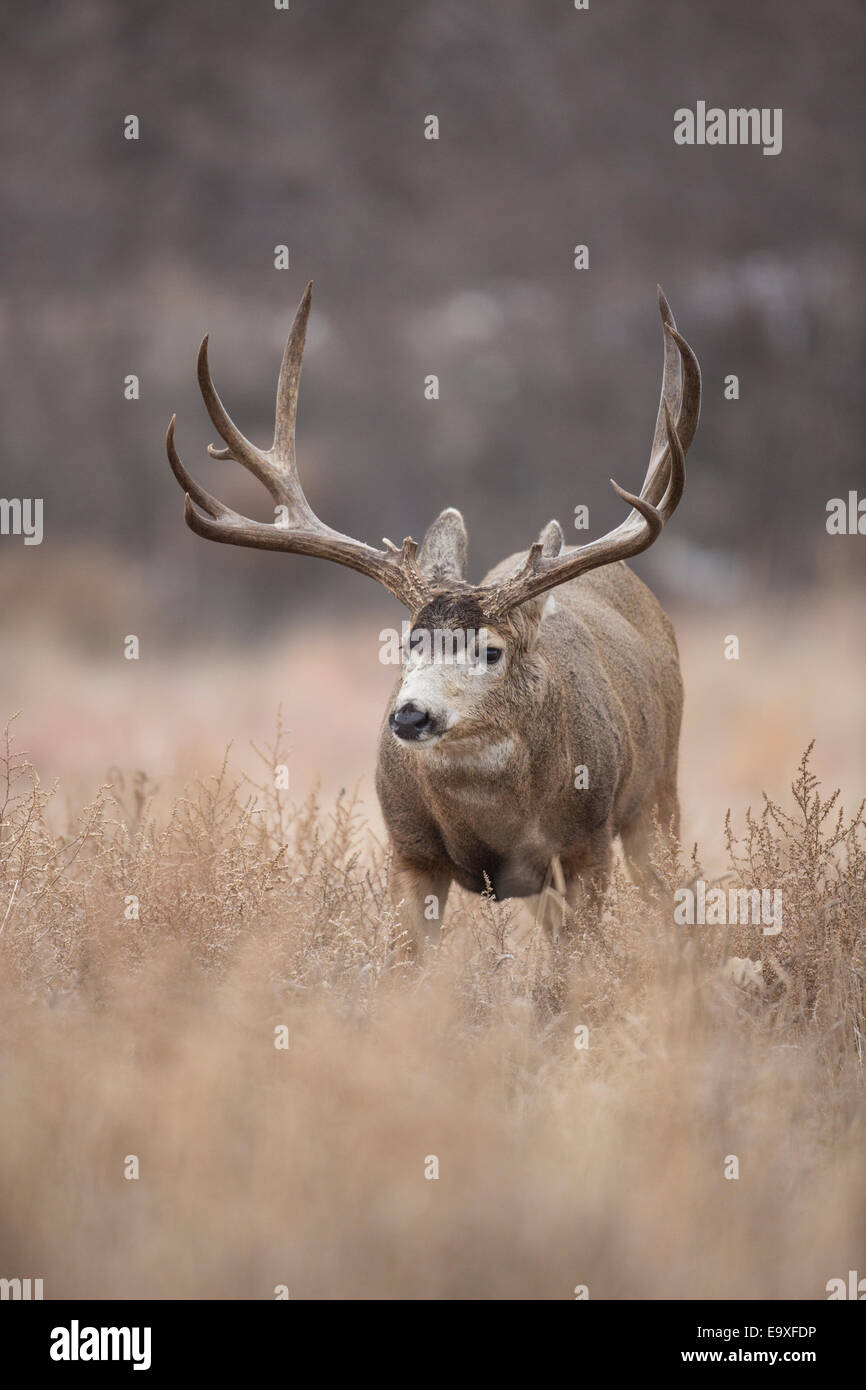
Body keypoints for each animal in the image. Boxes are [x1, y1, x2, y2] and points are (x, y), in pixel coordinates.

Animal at [166, 283, 701, 952]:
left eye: (491, 649)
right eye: (408, 643)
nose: (410, 714)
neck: (493, 822)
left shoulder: (587, 845)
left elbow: (572, 962)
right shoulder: (408, 849)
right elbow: (408, 959)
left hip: (661, 792)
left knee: (671, 894)